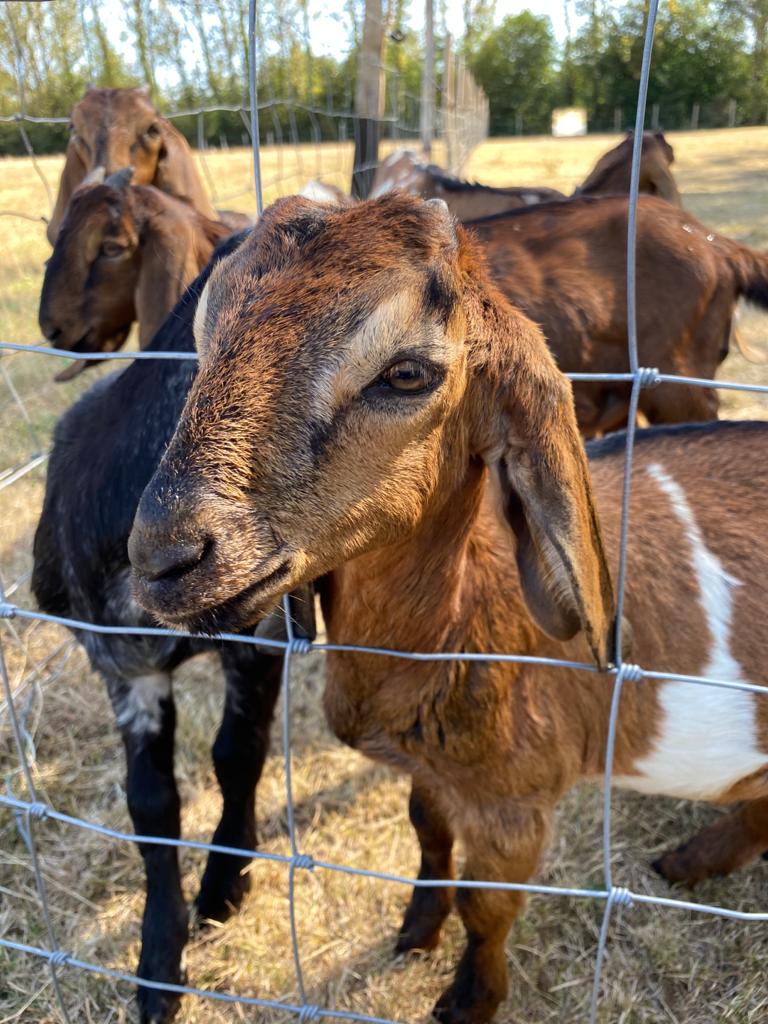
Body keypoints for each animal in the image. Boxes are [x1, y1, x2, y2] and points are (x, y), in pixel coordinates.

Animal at [32, 228, 315, 1024]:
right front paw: (158, 964)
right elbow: (150, 803)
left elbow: (236, 754)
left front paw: (224, 883)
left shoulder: (259, 640)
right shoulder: (120, 665)